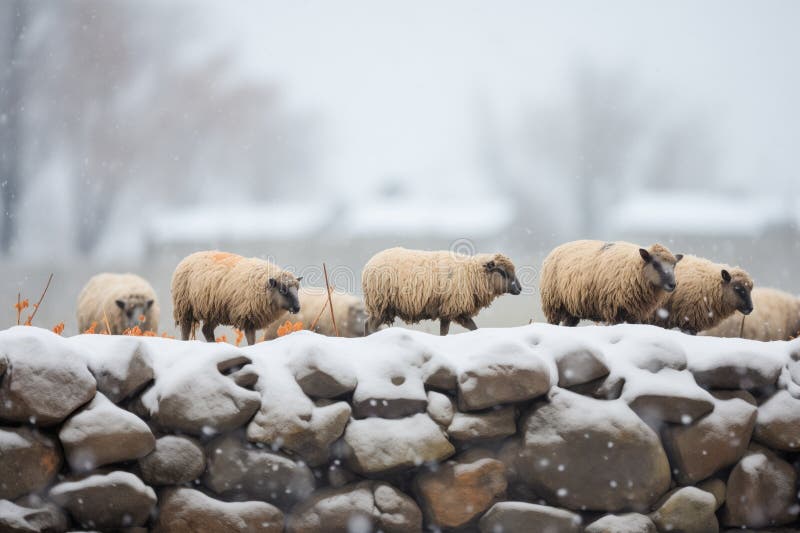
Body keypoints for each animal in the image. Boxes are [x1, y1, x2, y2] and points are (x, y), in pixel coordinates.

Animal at [171, 250, 302, 345]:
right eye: (282, 290)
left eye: (298, 288)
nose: (297, 308)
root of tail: (188, 257)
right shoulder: (248, 317)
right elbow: (251, 340)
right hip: (185, 306)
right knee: (185, 328)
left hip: (213, 310)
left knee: (207, 330)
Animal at [361, 247, 521, 336]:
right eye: (501, 271)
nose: (519, 289)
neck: (471, 274)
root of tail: (368, 265)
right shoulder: (449, 308)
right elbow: (444, 333)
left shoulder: (457, 312)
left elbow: (473, 327)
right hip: (380, 303)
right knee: (369, 325)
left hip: (384, 307)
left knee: (368, 324)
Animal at [540, 240, 682, 326]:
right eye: (655, 264)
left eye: (674, 265)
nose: (672, 285)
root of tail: (558, 248)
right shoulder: (613, 310)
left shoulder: (635, 314)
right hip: (553, 305)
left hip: (571, 309)